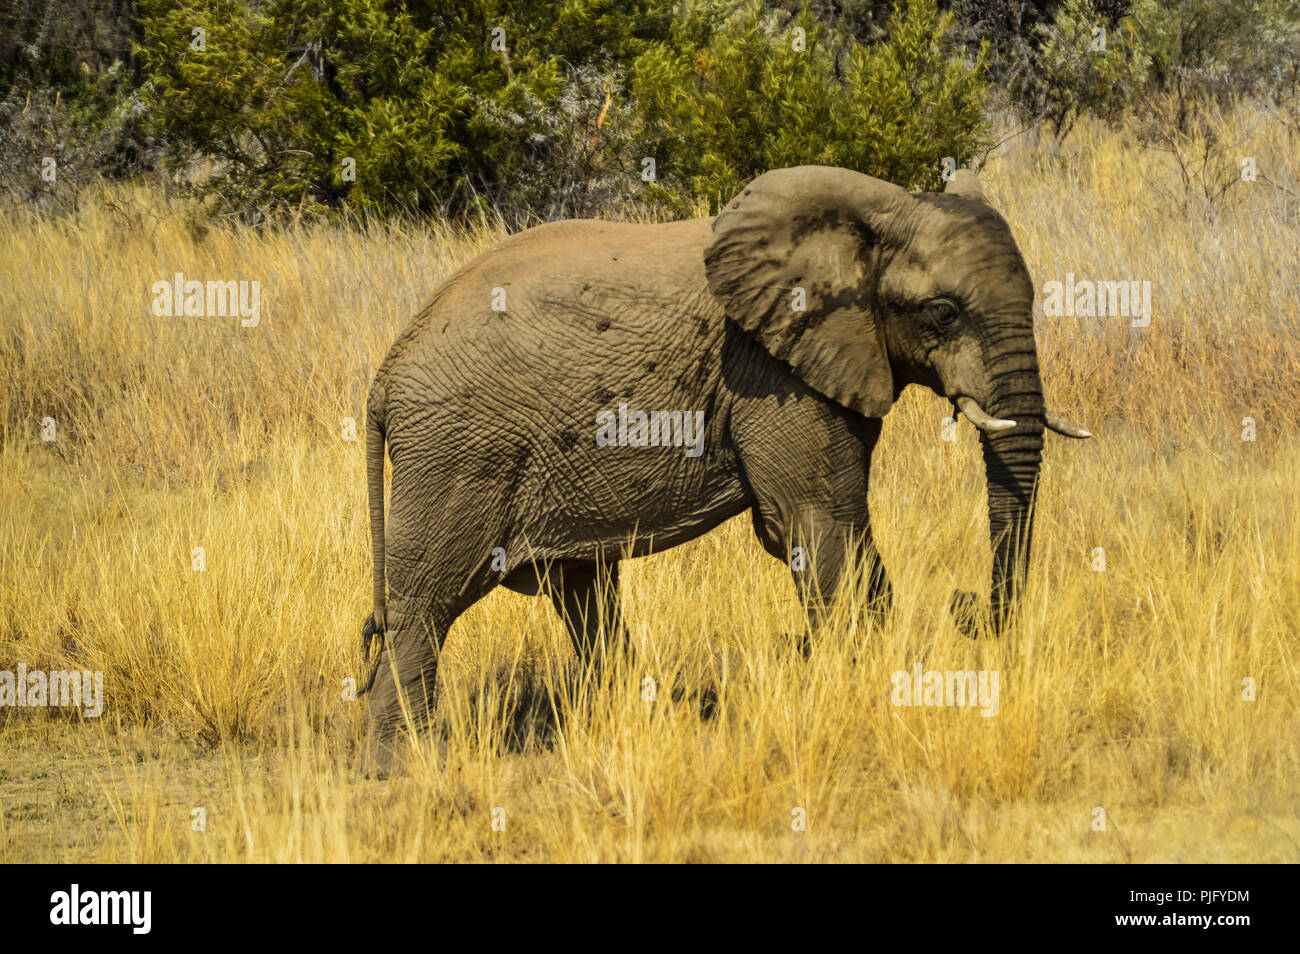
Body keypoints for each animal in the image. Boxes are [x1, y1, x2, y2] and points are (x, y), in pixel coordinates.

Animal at [356, 165, 1091, 773]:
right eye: (943, 312)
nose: (967, 607)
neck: (877, 211)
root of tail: (387, 370)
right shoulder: (771, 370)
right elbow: (815, 523)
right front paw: (866, 687)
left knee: (583, 590)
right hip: (460, 451)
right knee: (426, 604)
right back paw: (403, 767)